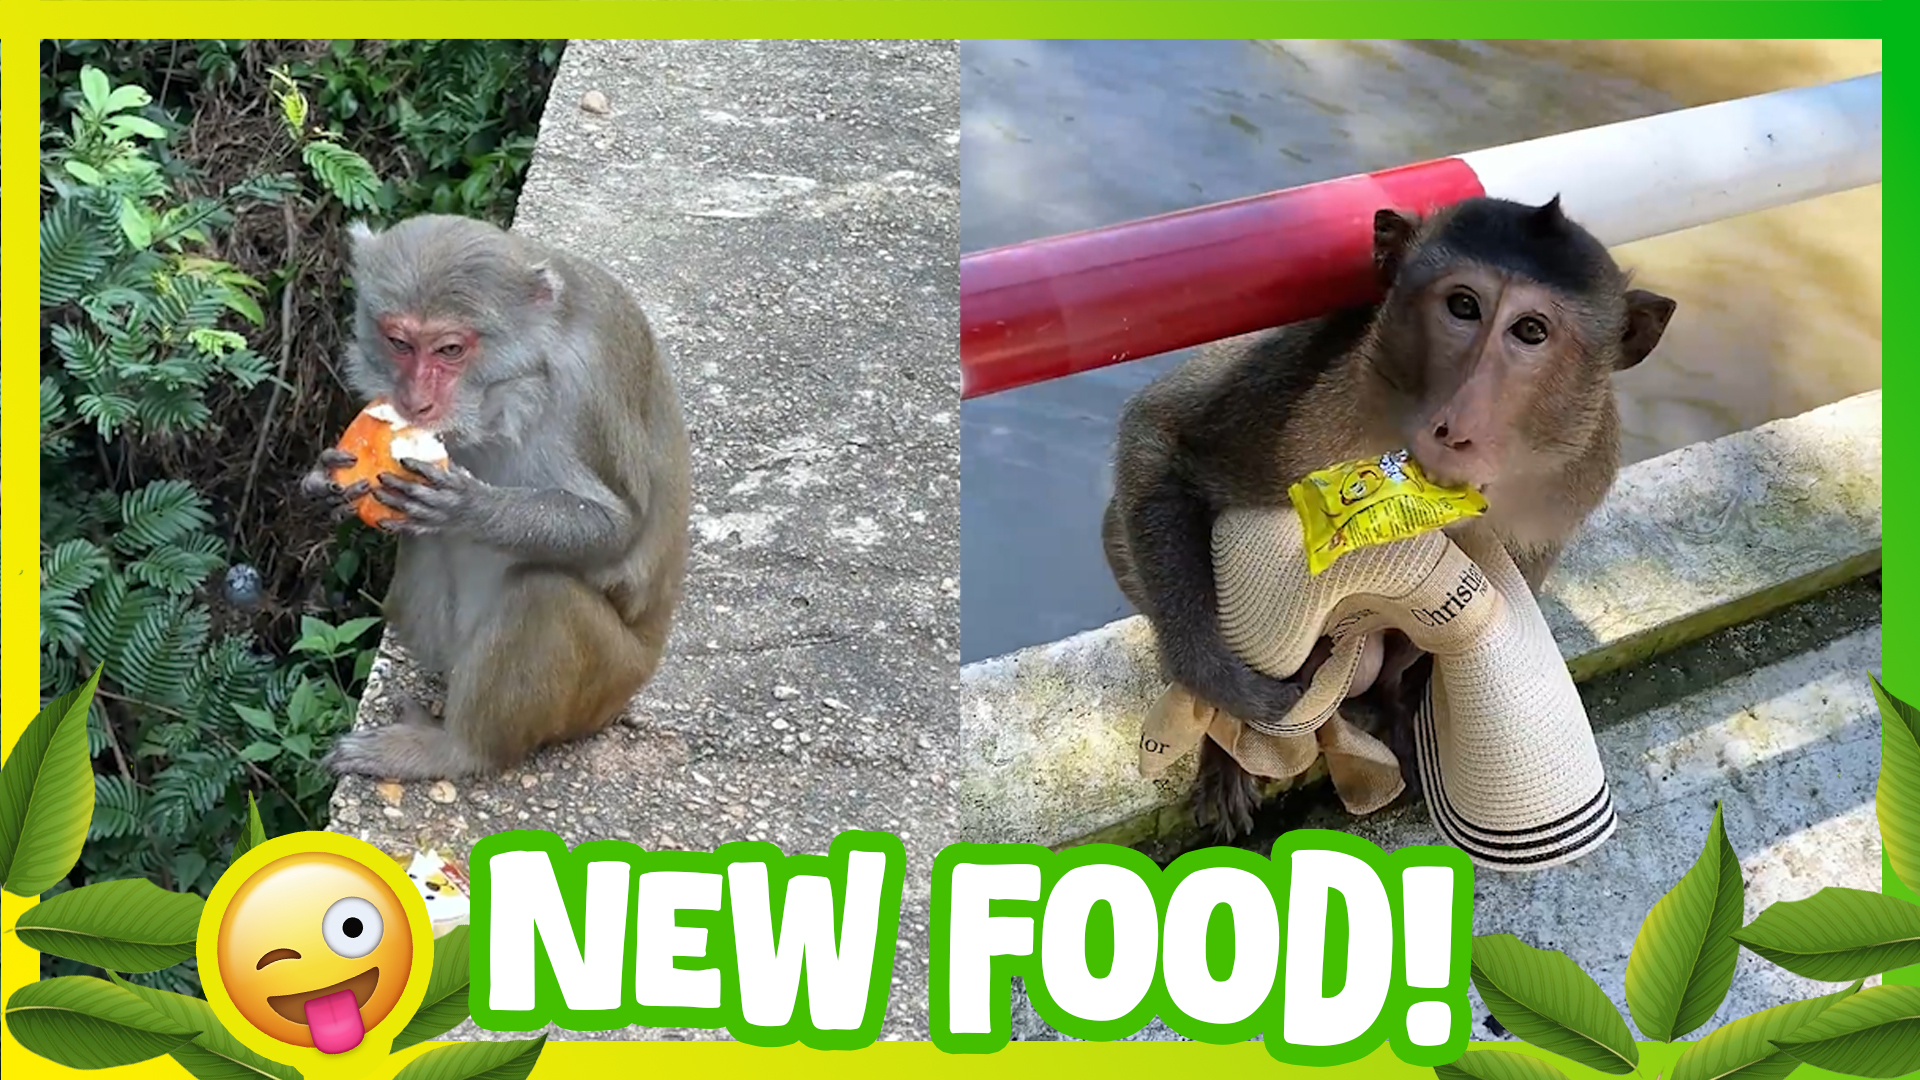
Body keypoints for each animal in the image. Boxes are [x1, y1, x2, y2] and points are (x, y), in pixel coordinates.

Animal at [301, 213, 692, 781]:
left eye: (450, 350)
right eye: (399, 342)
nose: (415, 402)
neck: (513, 382)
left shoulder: (587, 384)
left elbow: (618, 528)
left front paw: (473, 509)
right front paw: (321, 486)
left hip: (607, 683)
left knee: (545, 595)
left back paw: (459, 750)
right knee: (425, 546)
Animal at [1102, 196, 1676, 843]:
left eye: (1531, 331)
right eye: (1463, 306)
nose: (1457, 424)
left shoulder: (1581, 472)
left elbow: (1514, 573)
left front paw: (1418, 696)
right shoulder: (1306, 392)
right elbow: (1163, 433)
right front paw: (1225, 688)